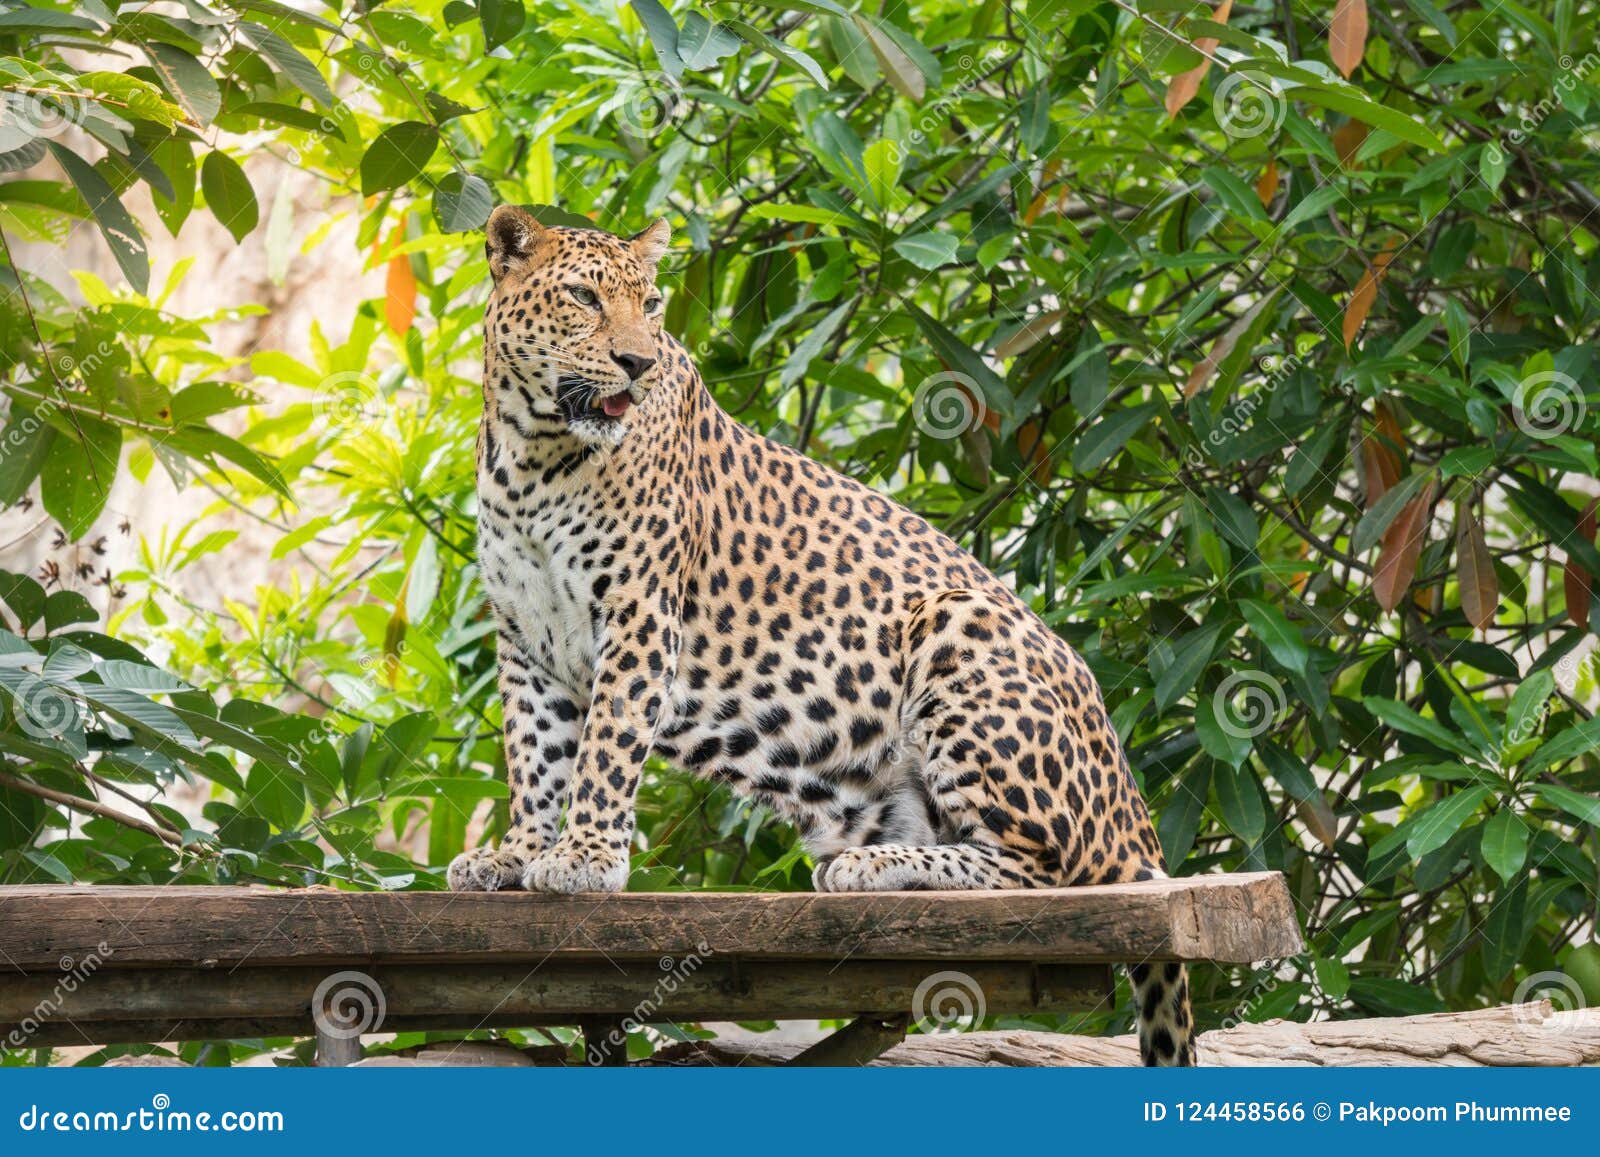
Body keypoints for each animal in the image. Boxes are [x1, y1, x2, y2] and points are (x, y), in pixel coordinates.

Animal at [448, 205, 1195, 1066]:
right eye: (582, 297)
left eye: (653, 304)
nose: (636, 363)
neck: (533, 451)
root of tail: (1136, 813)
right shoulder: (524, 636)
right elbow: (534, 754)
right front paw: (516, 852)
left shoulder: (638, 614)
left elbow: (606, 745)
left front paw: (584, 858)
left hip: (958, 624)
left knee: (1043, 867)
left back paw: (875, 867)